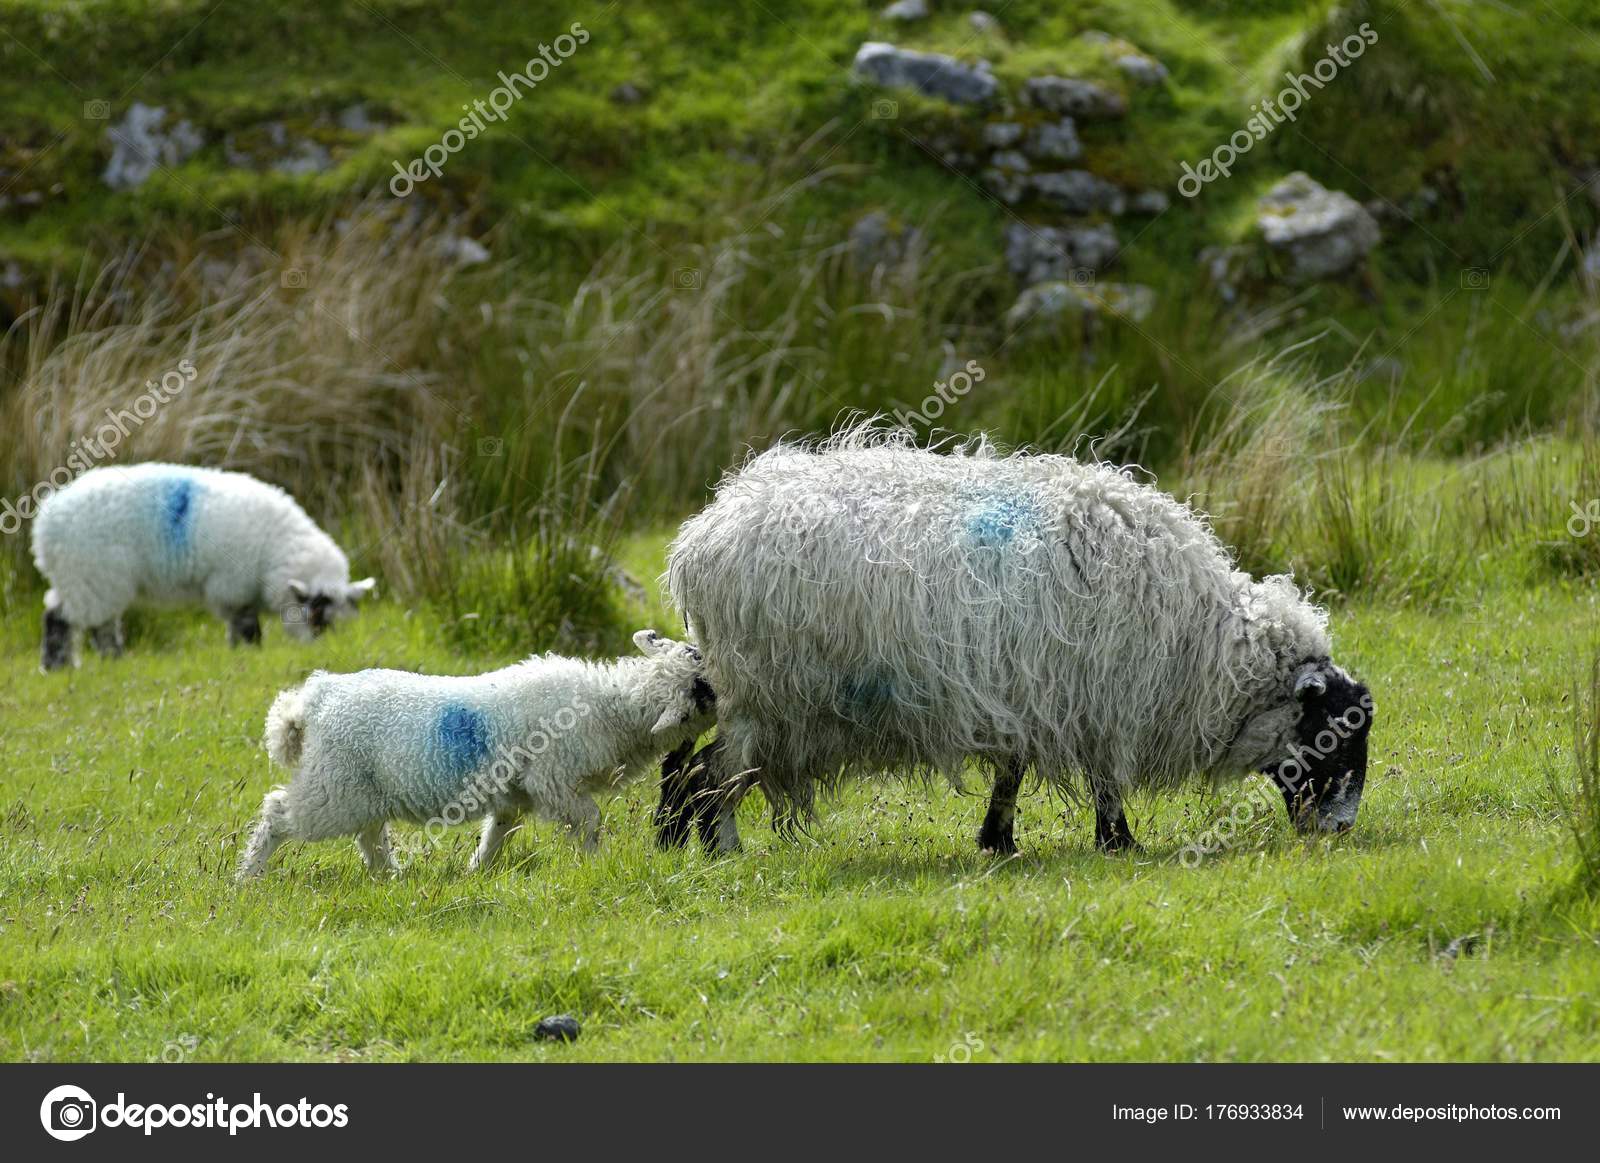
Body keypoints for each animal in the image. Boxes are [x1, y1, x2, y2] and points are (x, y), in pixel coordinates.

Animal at [31, 463, 374, 670]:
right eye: (317, 620)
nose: (321, 652)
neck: (276, 547)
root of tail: (44, 526)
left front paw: (240, 652)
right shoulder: (233, 585)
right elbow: (246, 625)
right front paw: (249, 652)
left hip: (79, 578)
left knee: (61, 613)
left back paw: (69, 665)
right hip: (93, 577)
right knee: (75, 621)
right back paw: (85, 662)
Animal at [236, 630, 715, 880]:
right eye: (703, 686)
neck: (610, 707)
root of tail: (317, 696)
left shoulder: (516, 794)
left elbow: (497, 833)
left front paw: (477, 872)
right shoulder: (553, 781)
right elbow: (590, 821)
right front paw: (597, 867)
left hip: (360, 789)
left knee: (369, 835)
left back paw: (391, 876)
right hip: (333, 790)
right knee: (278, 812)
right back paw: (249, 877)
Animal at [656, 427, 1373, 856]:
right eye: (1331, 733)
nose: (1340, 830)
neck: (1202, 641)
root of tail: (704, 532)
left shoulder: (1029, 693)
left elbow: (1013, 770)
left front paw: (998, 838)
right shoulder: (1100, 699)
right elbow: (1103, 778)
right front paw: (1119, 841)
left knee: (689, 767)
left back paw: (676, 842)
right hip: (768, 698)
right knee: (710, 771)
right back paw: (723, 850)